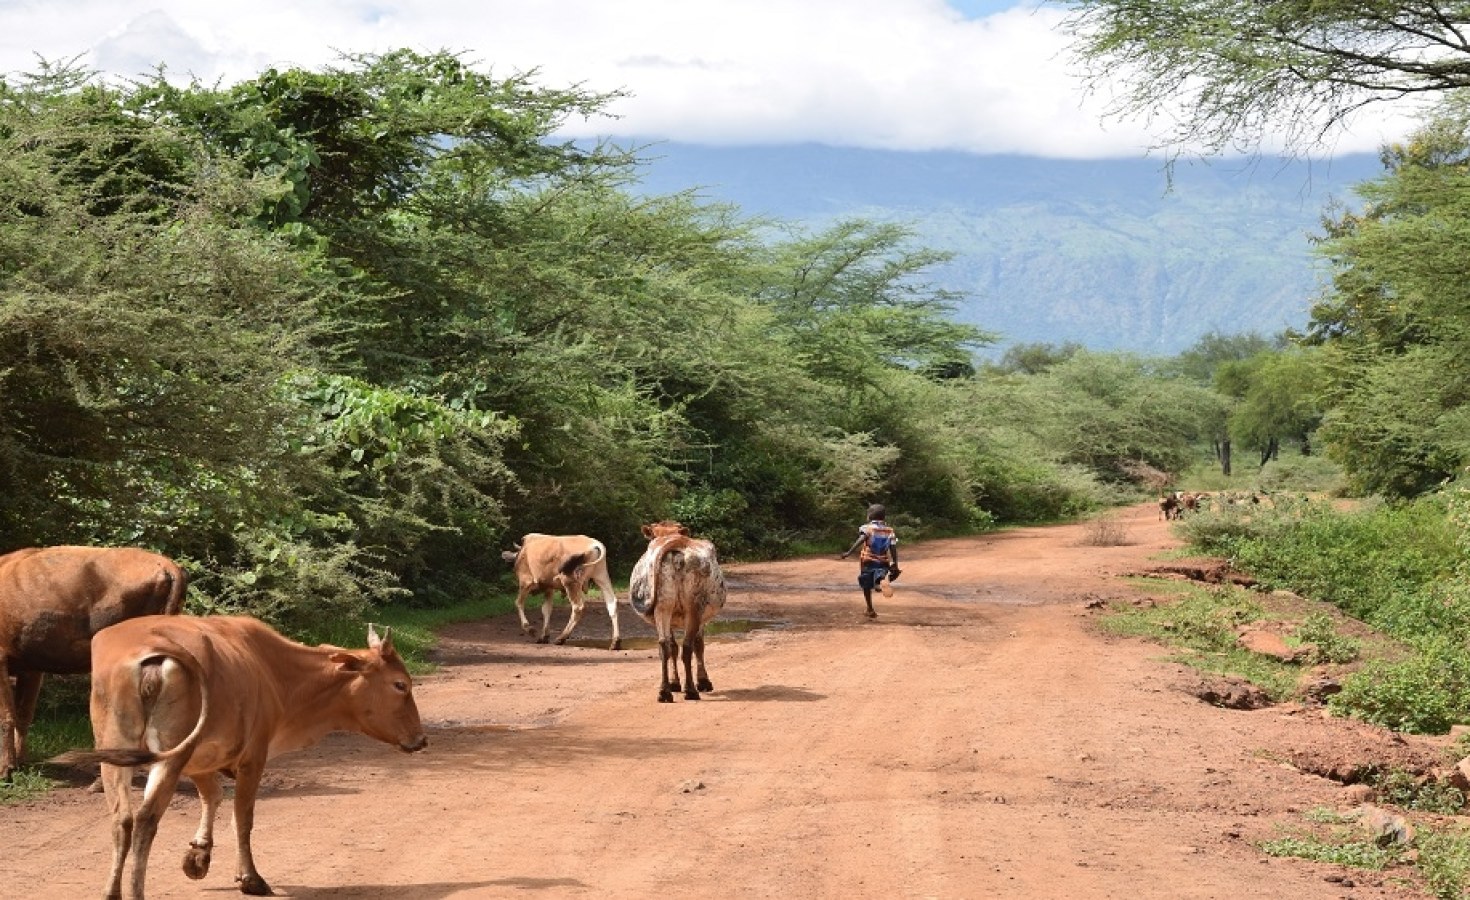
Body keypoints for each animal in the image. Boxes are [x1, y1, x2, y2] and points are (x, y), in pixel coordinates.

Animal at [0, 546, 186, 780]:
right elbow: (23, 715)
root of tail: (167, 565)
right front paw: (21, 762)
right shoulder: (31, 669)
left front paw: (6, 770)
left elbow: (6, 716)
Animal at [52, 615, 426, 899]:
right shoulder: (252, 758)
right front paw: (250, 878)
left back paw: (112, 891)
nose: (421, 740)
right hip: (168, 755)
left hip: (116, 747)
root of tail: (158, 646)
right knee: (146, 820)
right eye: (400, 685)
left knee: (123, 820)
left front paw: (199, 854)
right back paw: (135, 892)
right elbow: (242, 818)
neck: (275, 671)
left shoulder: (201, 759)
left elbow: (213, 795)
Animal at [628, 521, 727, 703]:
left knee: (664, 646)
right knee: (688, 646)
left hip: (663, 607)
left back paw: (664, 691)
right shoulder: (701, 618)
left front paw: (674, 683)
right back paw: (691, 690)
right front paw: (703, 681)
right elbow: (698, 645)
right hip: (693, 608)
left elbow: (673, 647)